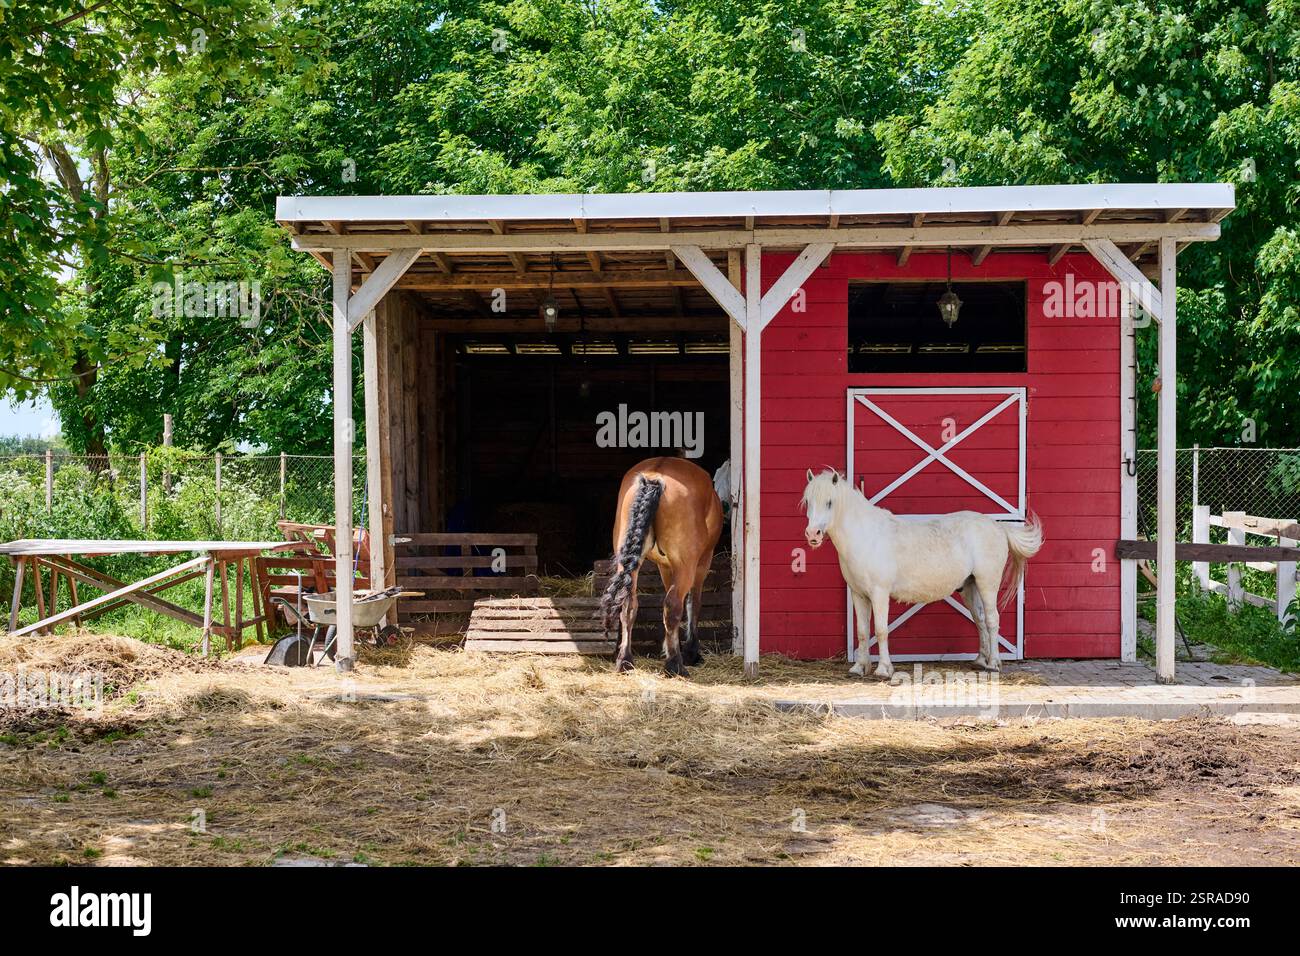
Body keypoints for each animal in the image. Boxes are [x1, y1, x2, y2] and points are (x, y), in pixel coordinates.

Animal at [600, 456, 724, 677]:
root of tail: (654, 478)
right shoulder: (701, 563)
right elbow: (693, 603)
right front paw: (690, 651)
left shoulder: (666, 567)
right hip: (687, 566)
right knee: (673, 606)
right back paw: (675, 664)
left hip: (629, 565)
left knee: (629, 605)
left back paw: (625, 660)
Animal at [800, 468, 1043, 678]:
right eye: (809, 502)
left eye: (830, 502)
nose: (813, 534)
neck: (866, 536)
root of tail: (997, 526)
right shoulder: (858, 595)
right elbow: (861, 631)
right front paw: (860, 668)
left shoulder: (879, 593)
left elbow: (880, 630)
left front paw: (883, 670)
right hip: (970, 586)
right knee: (980, 619)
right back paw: (980, 660)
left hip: (987, 584)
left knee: (992, 620)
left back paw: (993, 664)